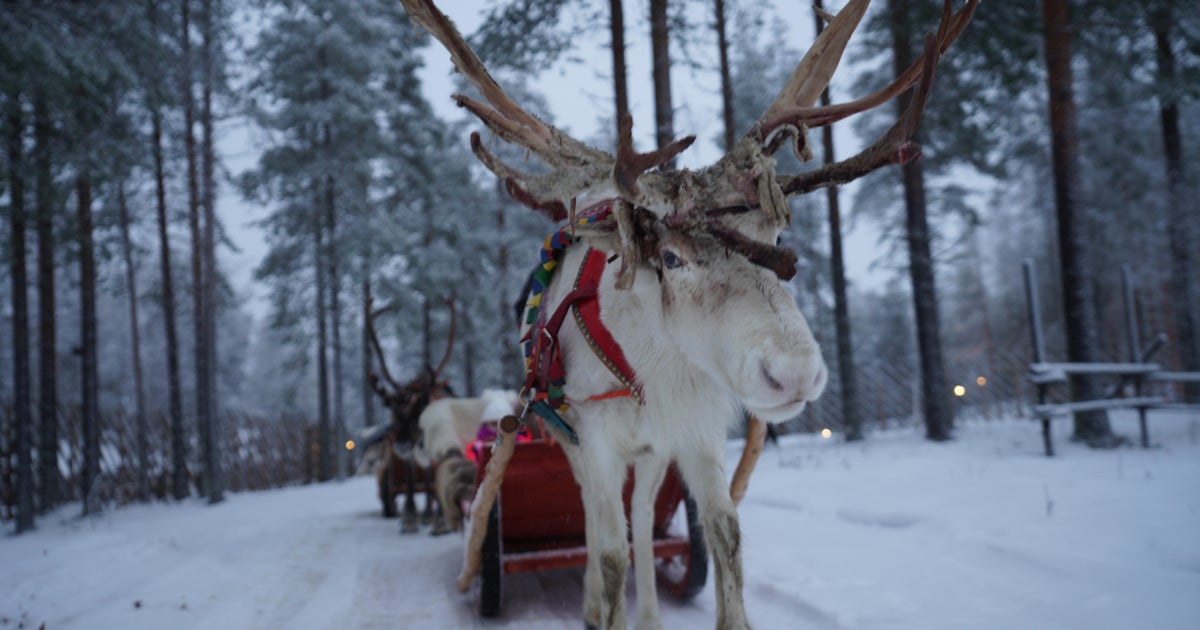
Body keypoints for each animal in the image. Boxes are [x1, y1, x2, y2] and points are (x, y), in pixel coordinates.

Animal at [365, 296, 456, 533]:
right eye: (394, 415)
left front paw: (440, 522)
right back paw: (424, 515)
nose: (402, 443)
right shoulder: (409, 456)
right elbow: (411, 480)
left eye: (419, 411)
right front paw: (409, 518)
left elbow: (435, 481)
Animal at [396, 0, 977, 627]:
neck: (654, 366)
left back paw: (649, 612)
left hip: (652, 456)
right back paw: (590, 602)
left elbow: (723, 532)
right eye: (671, 257)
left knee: (644, 521)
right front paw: (602, 606)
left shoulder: (693, 432)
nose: (795, 373)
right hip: (573, 445)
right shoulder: (596, 443)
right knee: (598, 523)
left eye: (776, 235)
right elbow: (608, 553)